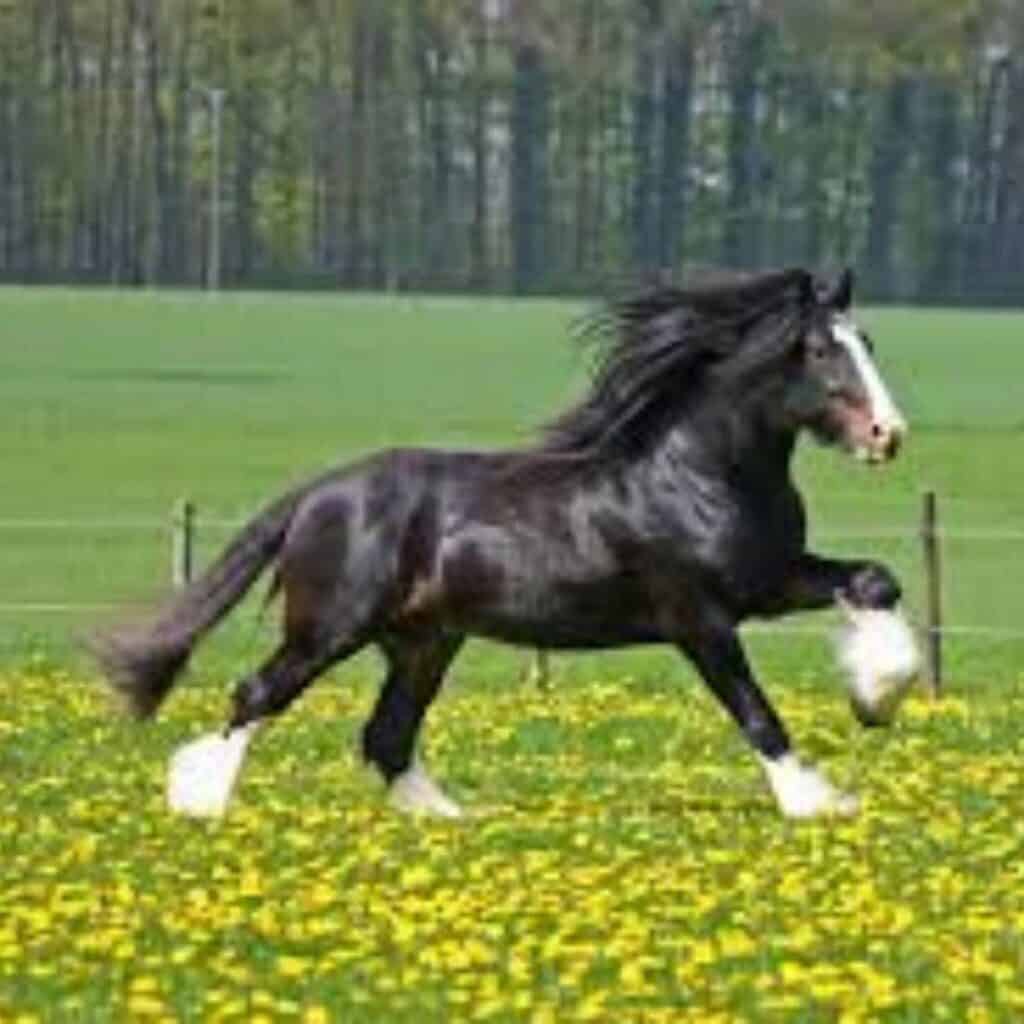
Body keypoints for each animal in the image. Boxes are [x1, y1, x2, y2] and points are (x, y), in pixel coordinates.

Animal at [96, 267, 919, 822]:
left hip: (424, 640)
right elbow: (752, 707)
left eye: (869, 342)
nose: (888, 435)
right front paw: (814, 798)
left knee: (387, 734)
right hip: (331, 627)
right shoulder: (699, 617)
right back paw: (200, 800)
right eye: (818, 351)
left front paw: (874, 699)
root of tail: (319, 493)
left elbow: (875, 581)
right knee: (258, 694)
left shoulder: (771, 582)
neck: (699, 473)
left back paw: (451, 819)